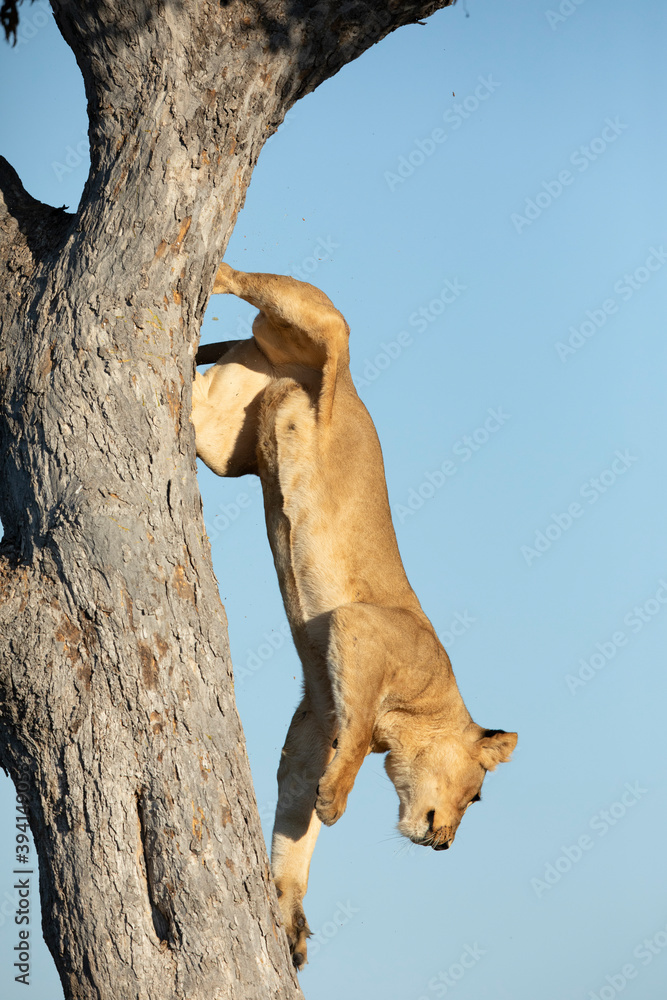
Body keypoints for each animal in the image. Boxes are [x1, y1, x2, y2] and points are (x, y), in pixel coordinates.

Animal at [192, 264, 517, 968]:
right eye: (478, 794)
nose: (447, 844)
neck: (428, 707)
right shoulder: (356, 630)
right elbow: (362, 733)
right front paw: (337, 801)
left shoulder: (315, 718)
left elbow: (295, 820)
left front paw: (289, 919)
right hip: (329, 332)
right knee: (268, 290)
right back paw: (206, 260)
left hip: (229, 439)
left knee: (200, 397)